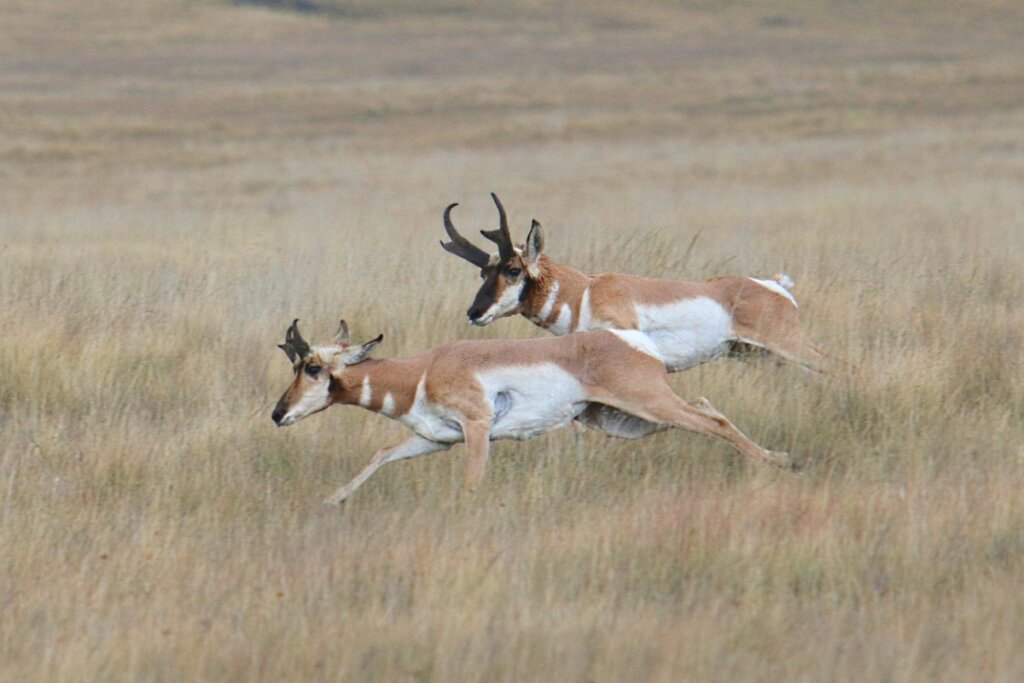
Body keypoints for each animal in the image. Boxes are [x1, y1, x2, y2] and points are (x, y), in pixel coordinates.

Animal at [271, 319, 792, 505]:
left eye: (312, 367)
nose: (278, 414)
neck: (425, 369)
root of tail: (628, 338)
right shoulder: (434, 439)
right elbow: (380, 454)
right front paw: (333, 500)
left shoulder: (478, 429)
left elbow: (473, 482)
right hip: (629, 421)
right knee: (707, 410)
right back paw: (781, 458)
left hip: (646, 405)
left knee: (710, 420)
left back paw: (780, 463)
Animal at [441, 194, 833, 374]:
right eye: (483, 273)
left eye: (512, 270)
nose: (474, 312)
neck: (584, 293)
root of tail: (773, 286)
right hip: (762, 354)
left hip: (791, 347)